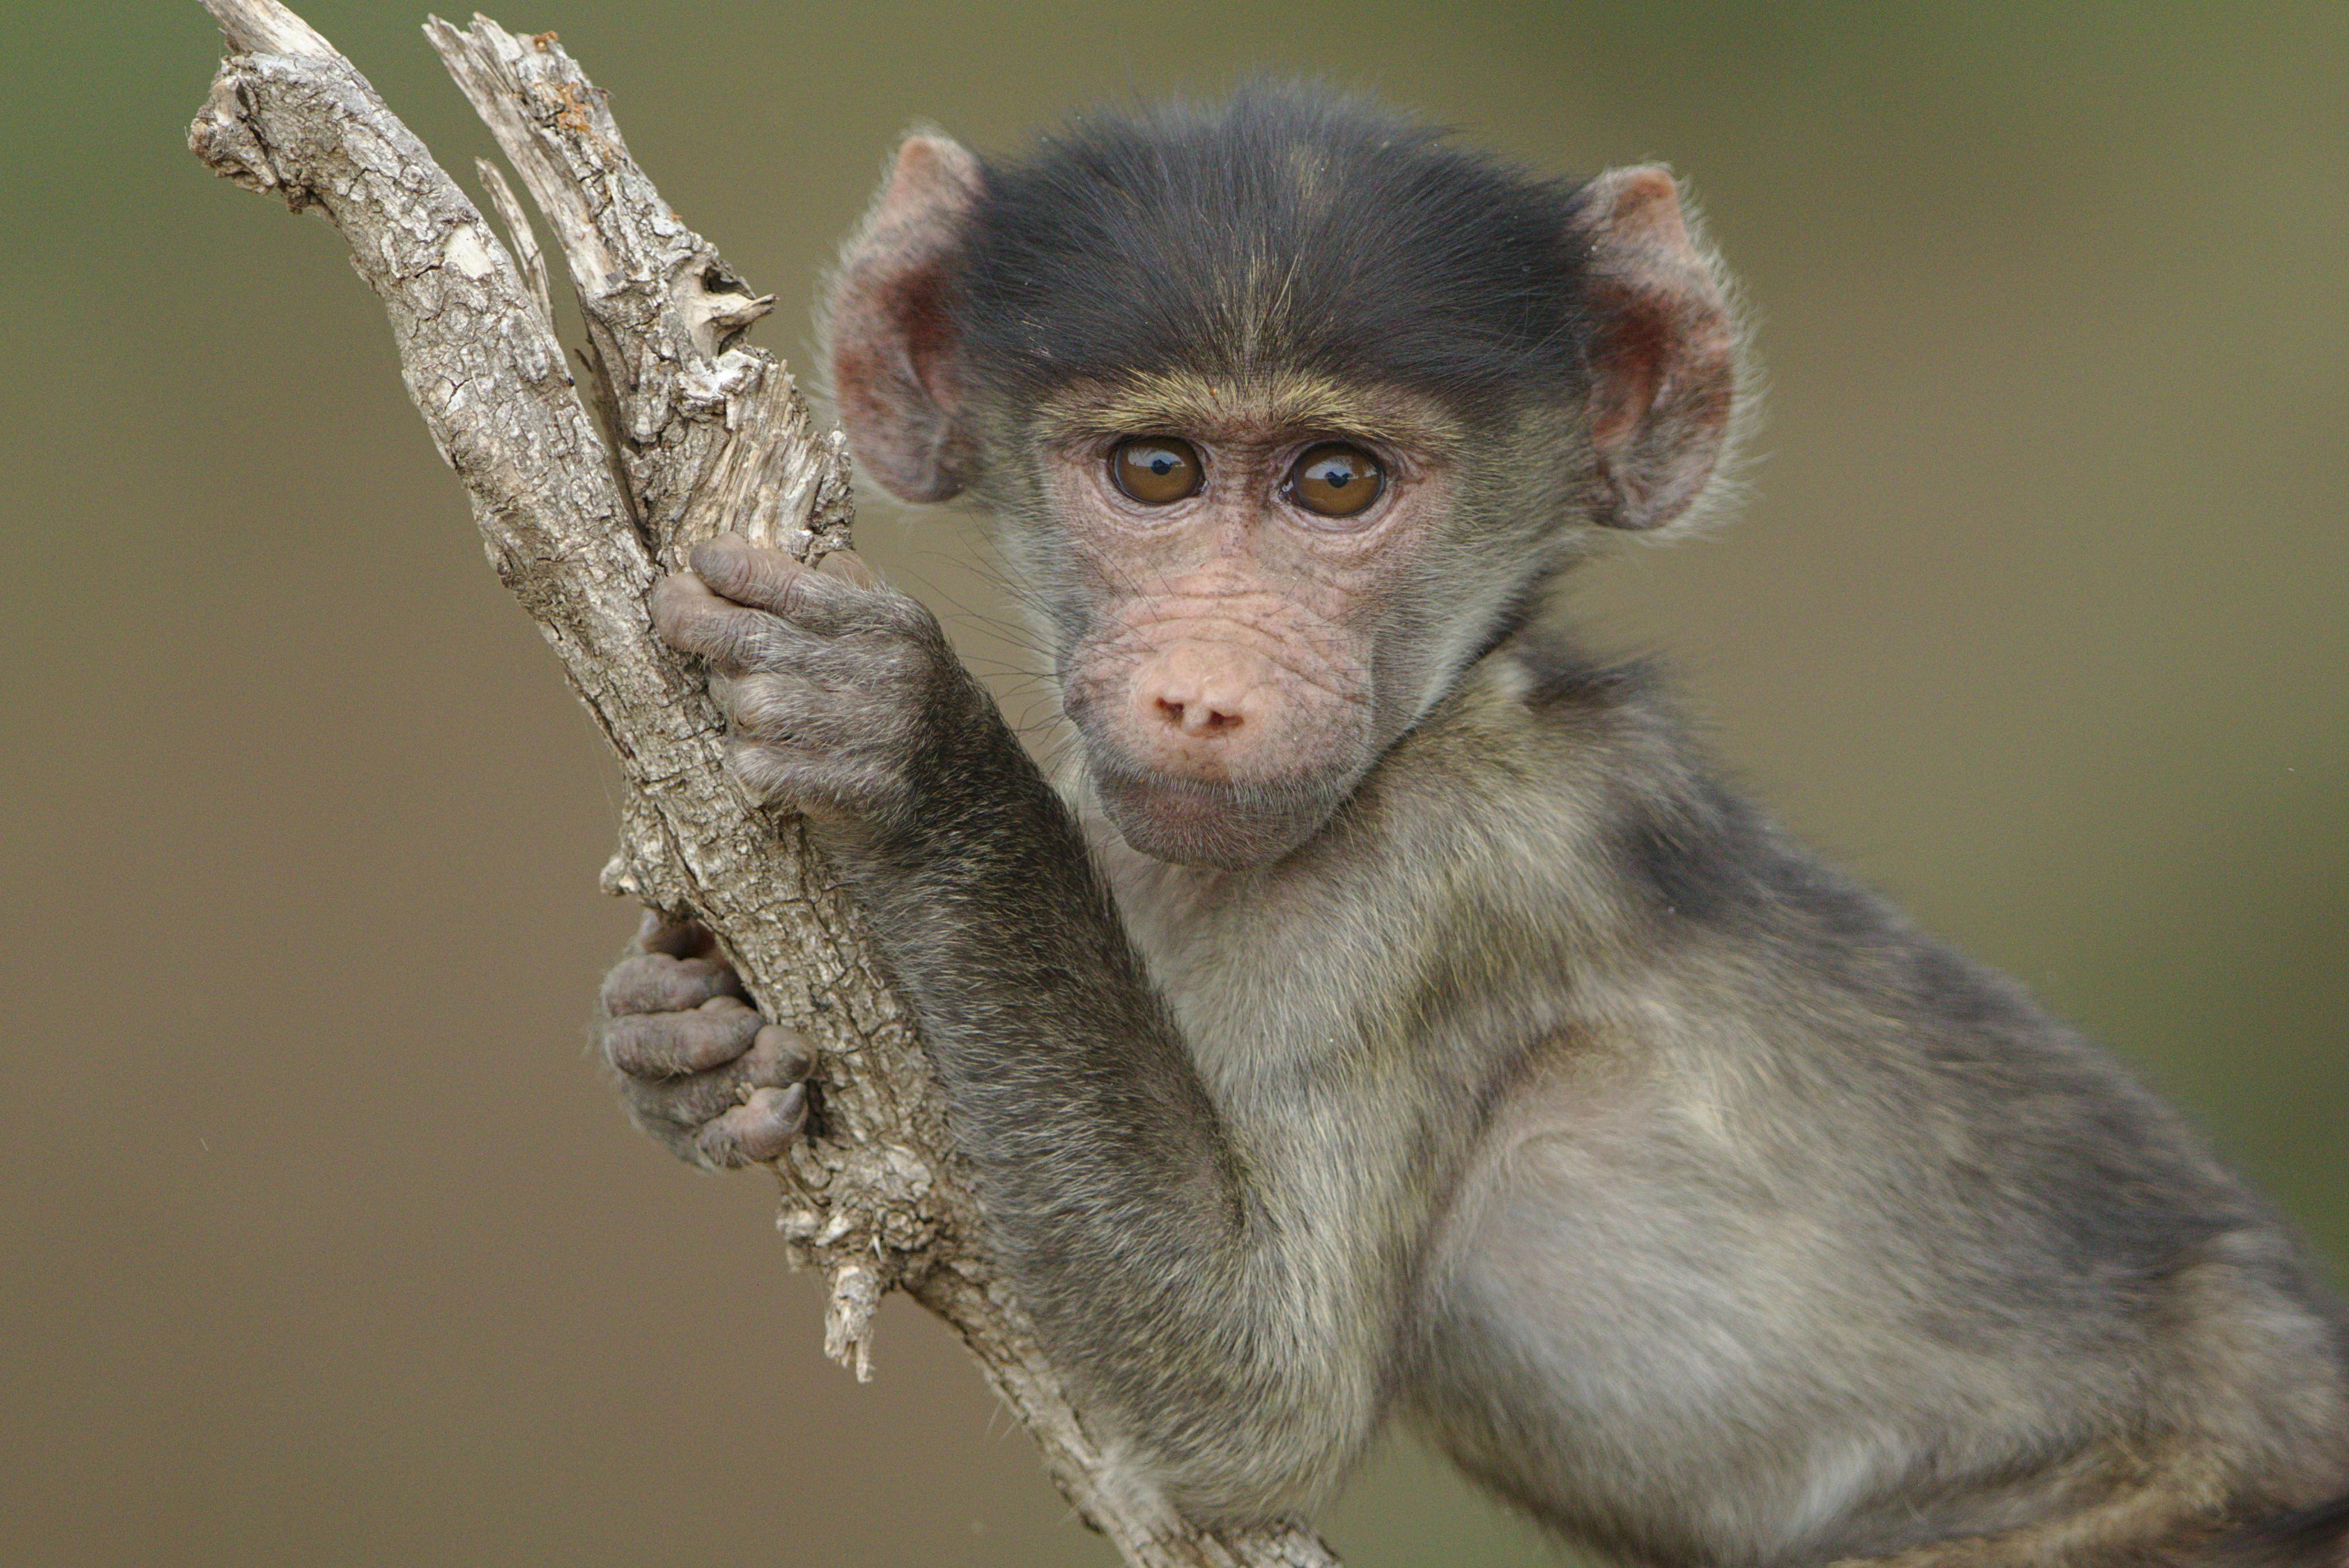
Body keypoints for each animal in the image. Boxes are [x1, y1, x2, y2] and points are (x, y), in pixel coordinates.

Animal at [593, 84, 2349, 1566]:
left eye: (1337, 483)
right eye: (1155, 469)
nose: (1204, 692)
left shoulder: (1451, 877)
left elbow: (1257, 1390)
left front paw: (909, 739)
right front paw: (685, 1029)